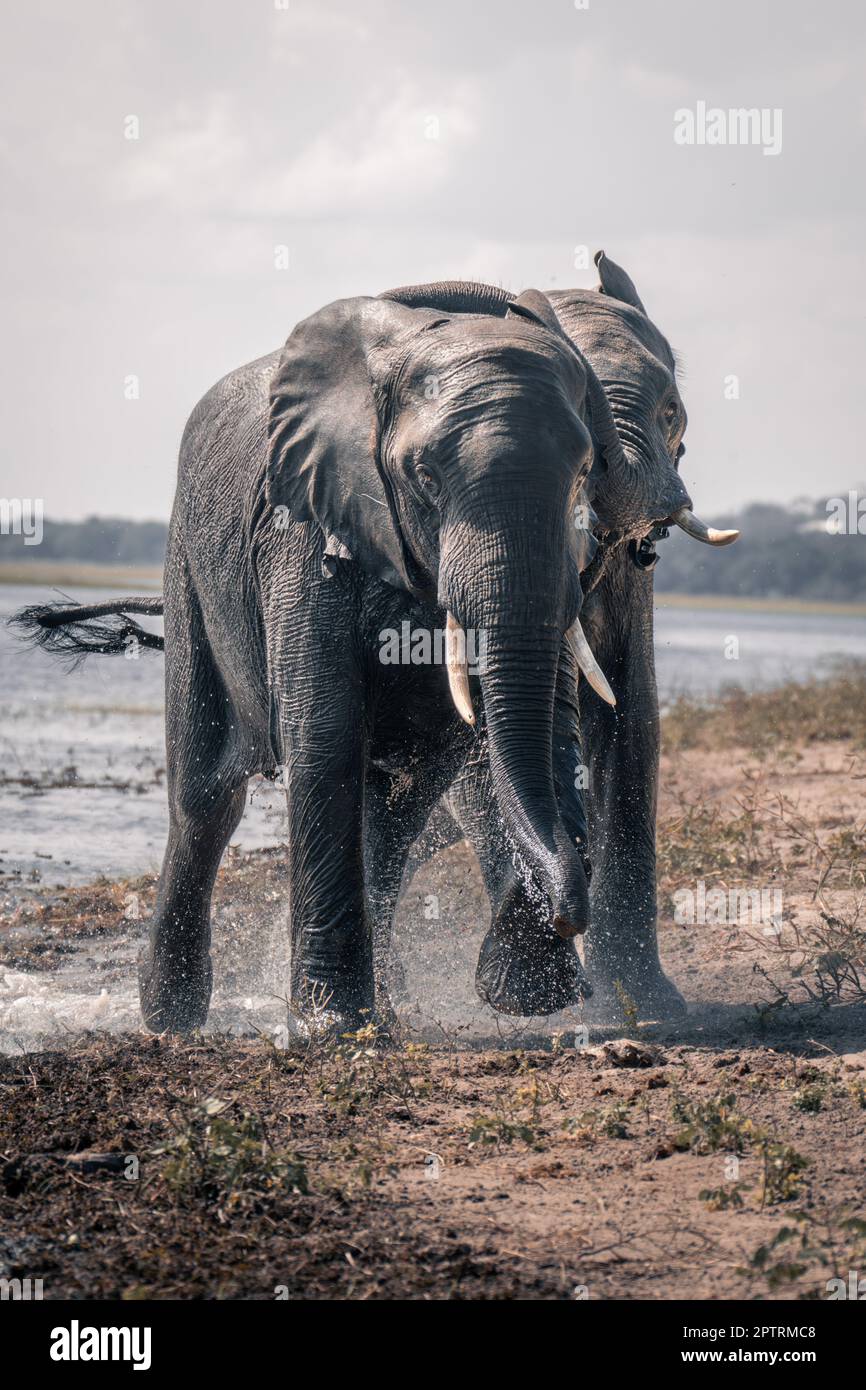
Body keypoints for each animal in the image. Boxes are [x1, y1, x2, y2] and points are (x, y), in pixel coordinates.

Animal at [15, 288, 626, 1034]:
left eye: (583, 475)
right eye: (425, 476)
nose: (567, 918)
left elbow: (543, 722)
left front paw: (520, 993)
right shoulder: (302, 528)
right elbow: (326, 727)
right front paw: (328, 1028)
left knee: (395, 808)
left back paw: (385, 1015)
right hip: (187, 568)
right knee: (205, 799)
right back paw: (170, 1018)